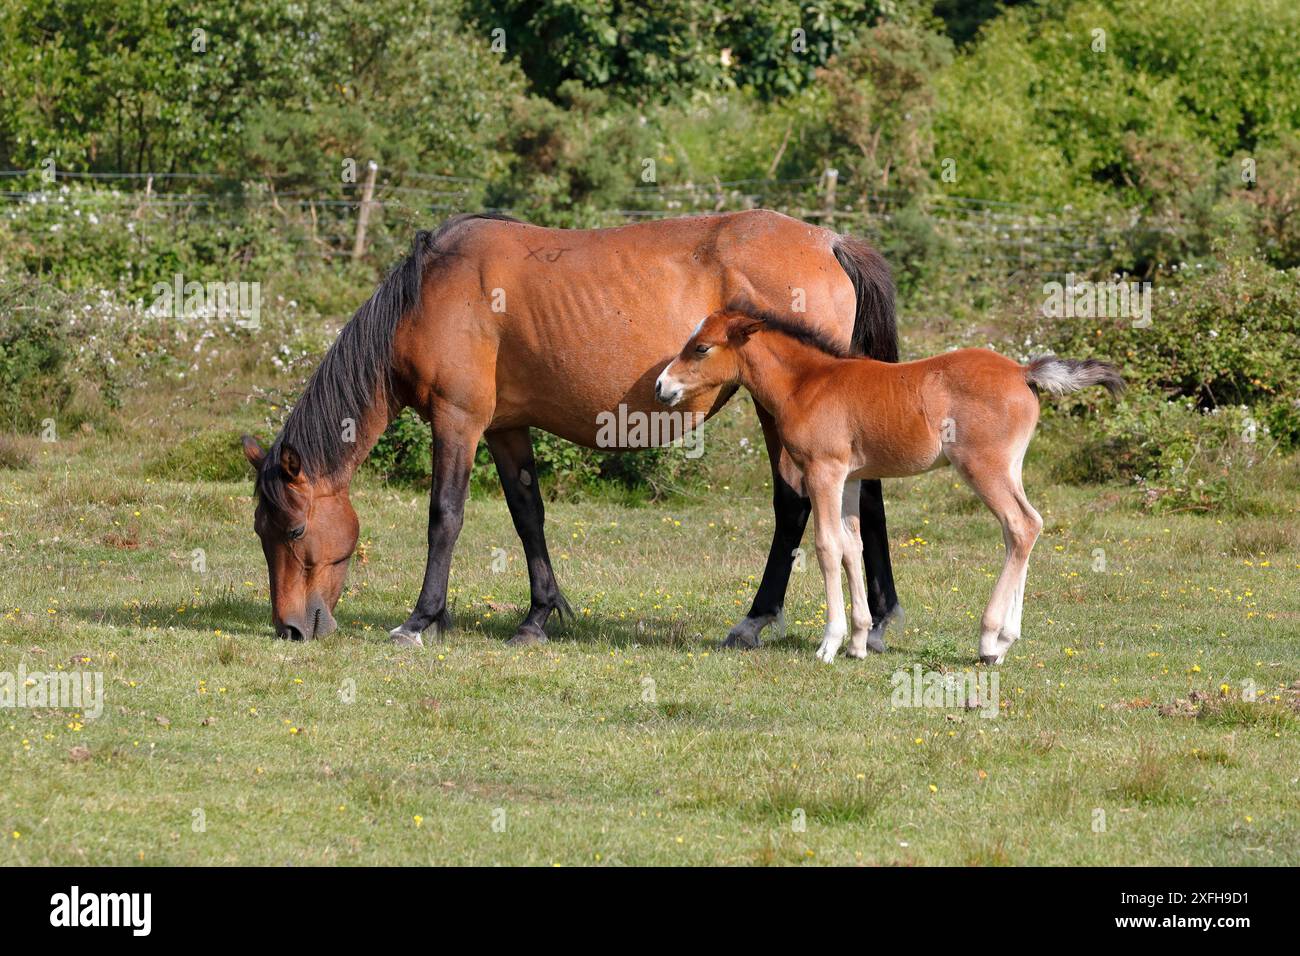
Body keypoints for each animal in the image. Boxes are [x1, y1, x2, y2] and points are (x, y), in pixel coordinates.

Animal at [240, 210, 906, 648]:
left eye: (294, 529)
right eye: (260, 532)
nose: (290, 628)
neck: (427, 295)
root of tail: (829, 241)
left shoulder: (458, 421)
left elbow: (444, 517)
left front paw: (421, 619)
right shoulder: (506, 429)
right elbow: (527, 516)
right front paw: (538, 616)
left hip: (783, 410)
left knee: (793, 505)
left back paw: (757, 620)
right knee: (863, 496)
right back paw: (877, 618)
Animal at [655, 305, 1122, 665]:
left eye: (701, 347)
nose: (662, 386)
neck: (806, 383)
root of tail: (1023, 371)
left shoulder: (823, 472)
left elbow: (826, 547)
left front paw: (830, 643)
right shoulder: (848, 478)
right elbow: (851, 547)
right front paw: (859, 641)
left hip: (982, 467)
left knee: (1020, 526)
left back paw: (991, 640)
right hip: (1010, 468)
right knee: (1027, 526)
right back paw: (1007, 639)